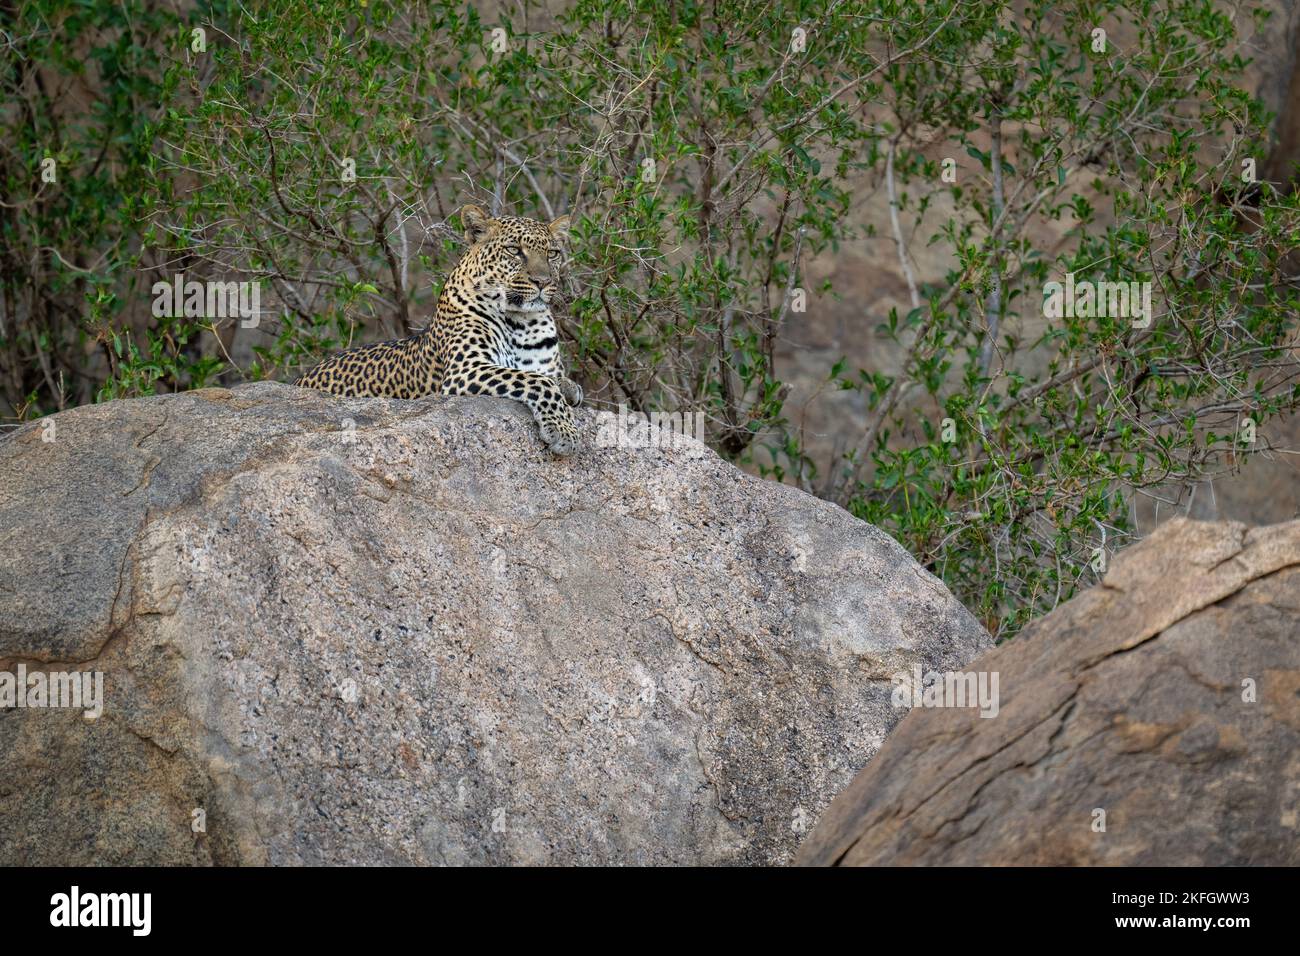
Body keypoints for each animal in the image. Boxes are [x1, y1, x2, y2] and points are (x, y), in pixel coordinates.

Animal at [295, 204, 584, 455]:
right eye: (514, 250)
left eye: (553, 254)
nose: (543, 281)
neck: (522, 323)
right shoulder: (465, 370)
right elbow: (537, 382)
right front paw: (564, 431)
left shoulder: (540, 365)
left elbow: (550, 378)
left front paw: (570, 391)